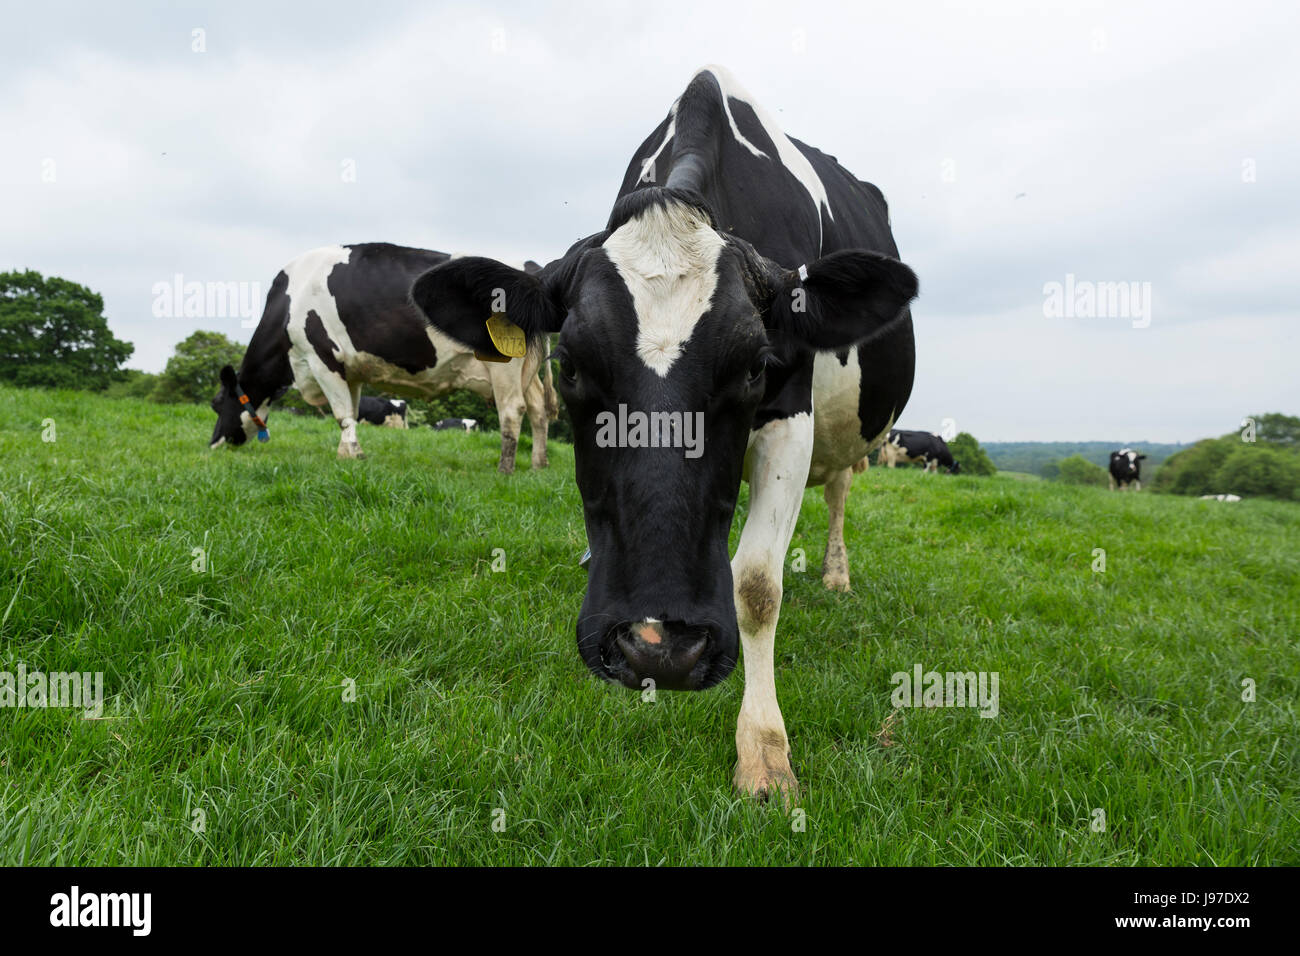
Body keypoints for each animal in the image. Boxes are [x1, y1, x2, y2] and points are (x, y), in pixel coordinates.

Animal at [208, 243, 557, 473]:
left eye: (216, 403)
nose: (212, 443)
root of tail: (530, 270)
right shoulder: (350, 369)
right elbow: (350, 410)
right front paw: (346, 453)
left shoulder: (322, 357)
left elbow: (341, 414)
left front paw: (354, 454)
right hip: (527, 368)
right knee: (538, 410)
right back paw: (538, 464)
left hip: (504, 366)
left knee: (513, 410)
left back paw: (505, 469)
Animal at [410, 66, 918, 802]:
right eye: (569, 364)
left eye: (757, 366)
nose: (661, 647)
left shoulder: (790, 416)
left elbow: (757, 585)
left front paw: (763, 753)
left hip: (853, 435)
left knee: (839, 494)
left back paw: (836, 574)